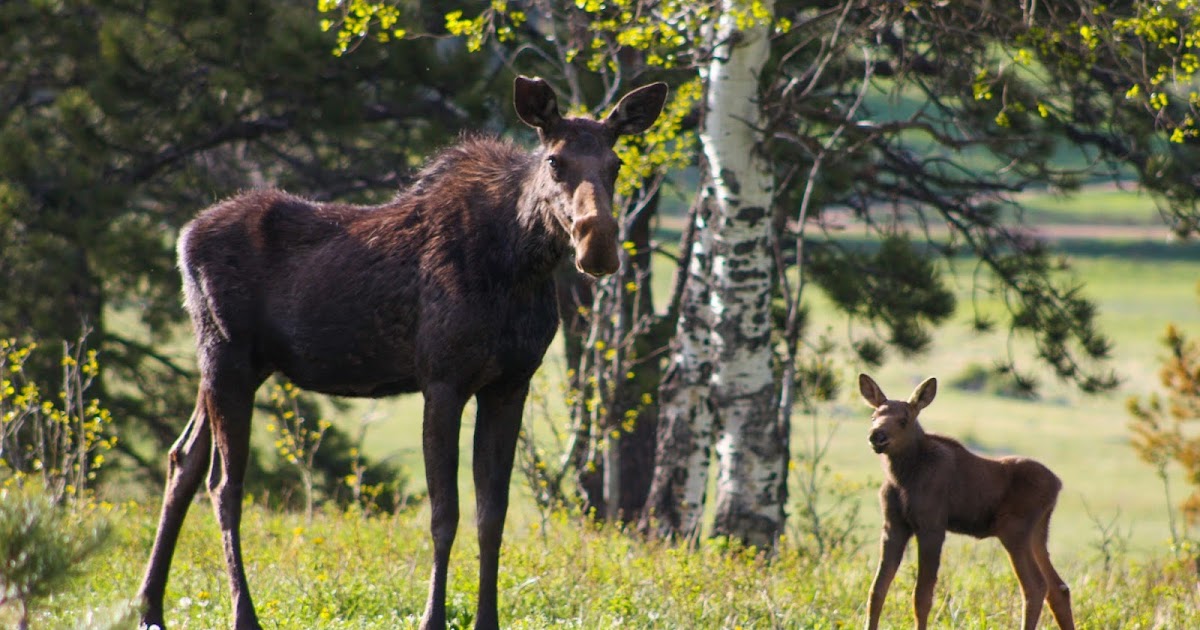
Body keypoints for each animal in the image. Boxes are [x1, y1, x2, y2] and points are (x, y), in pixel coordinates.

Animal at [135, 76, 668, 630]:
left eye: (617, 164)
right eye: (555, 161)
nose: (598, 246)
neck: (520, 264)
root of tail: (183, 236)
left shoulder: (509, 384)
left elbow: (492, 514)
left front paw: (487, 619)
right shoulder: (443, 379)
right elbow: (444, 514)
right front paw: (433, 617)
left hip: (233, 366)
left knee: (182, 459)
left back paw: (151, 606)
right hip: (227, 359)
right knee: (224, 484)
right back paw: (243, 614)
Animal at [858, 373, 1075, 630]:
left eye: (904, 420)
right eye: (873, 416)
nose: (877, 436)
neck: (902, 477)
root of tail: (1058, 484)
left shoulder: (932, 526)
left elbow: (921, 595)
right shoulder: (893, 526)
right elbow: (876, 590)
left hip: (1015, 531)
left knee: (1036, 586)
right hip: (1037, 532)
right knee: (1058, 587)